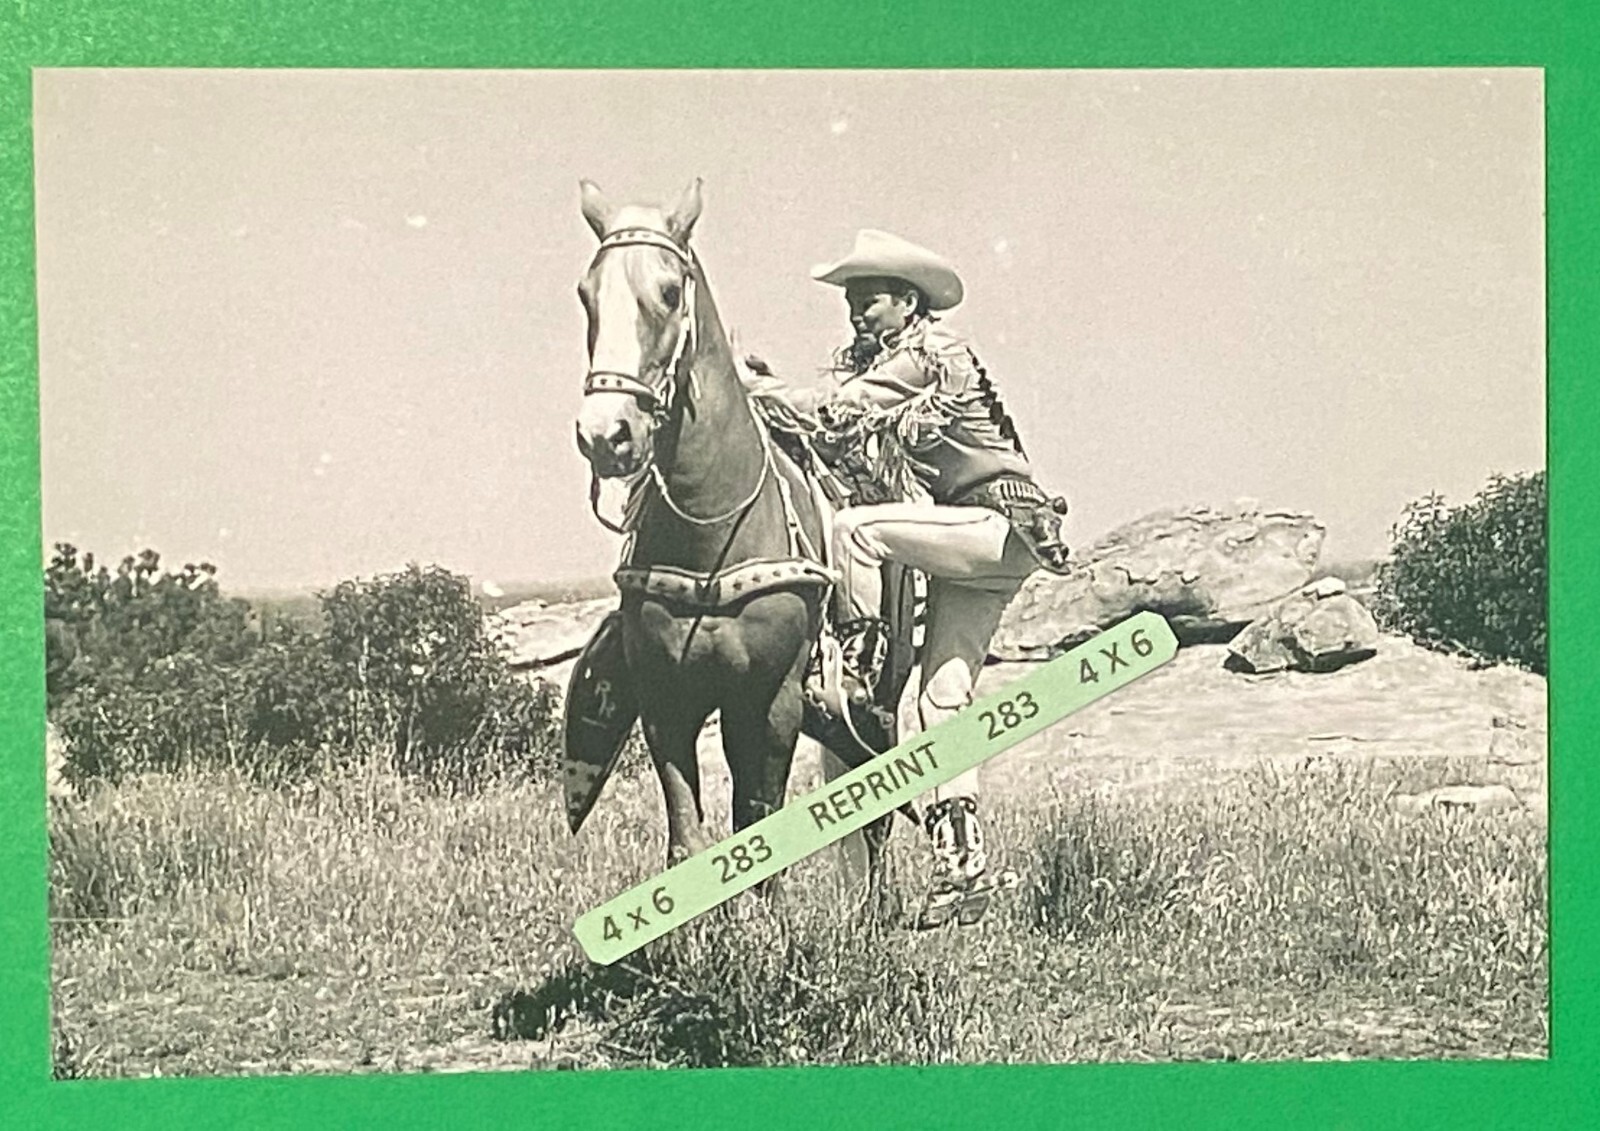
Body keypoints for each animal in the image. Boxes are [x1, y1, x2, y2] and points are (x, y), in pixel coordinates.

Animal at [570, 178, 918, 910]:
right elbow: (692, 837)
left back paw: (878, 915)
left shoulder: (771, 699)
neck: (711, 532)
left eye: (669, 291)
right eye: (586, 294)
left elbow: (761, 822)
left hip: (874, 702)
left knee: (877, 803)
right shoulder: (668, 703)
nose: (606, 435)